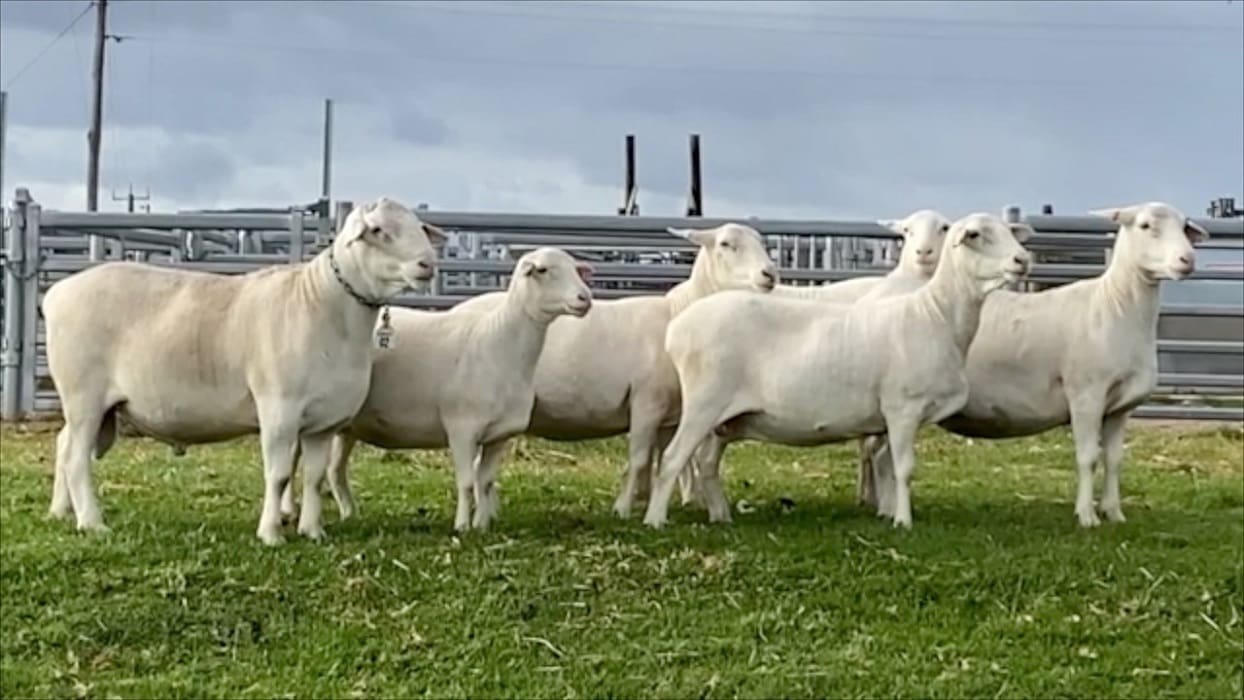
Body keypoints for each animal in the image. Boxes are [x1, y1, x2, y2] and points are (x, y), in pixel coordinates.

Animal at [40, 197, 446, 545]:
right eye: (377, 230)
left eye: (419, 227)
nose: (428, 264)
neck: (322, 304)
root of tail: (56, 293)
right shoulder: (278, 408)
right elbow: (278, 475)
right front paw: (271, 534)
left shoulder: (324, 421)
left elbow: (314, 478)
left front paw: (313, 531)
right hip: (83, 394)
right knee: (76, 459)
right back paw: (92, 522)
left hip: (87, 404)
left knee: (63, 444)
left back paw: (61, 512)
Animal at [287, 247, 594, 535]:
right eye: (543, 270)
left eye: (575, 269)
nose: (585, 298)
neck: (499, 343)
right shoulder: (462, 428)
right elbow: (467, 482)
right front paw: (462, 526)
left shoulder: (499, 436)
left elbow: (485, 482)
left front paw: (482, 526)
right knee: (293, 460)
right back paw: (288, 511)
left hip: (348, 424)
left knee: (334, 469)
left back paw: (350, 513)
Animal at [449, 222, 780, 520]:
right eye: (726, 244)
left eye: (762, 242)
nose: (770, 275)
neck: (676, 313)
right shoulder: (646, 400)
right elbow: (640, 459)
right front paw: (623, 508)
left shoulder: (669, 413)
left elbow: (665, 459)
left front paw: (660, 499)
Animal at [642, 212, 1033, 530]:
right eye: (975, 235)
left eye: (1010, 234)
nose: (1023, 260)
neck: (935, 314)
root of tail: (678, 327)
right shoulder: (903, 408)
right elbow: (904, 468)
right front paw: (904, 522)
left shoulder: (886, 418)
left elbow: (885, 465)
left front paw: (888, 512)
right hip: (704, 403)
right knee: (674, 459)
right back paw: (655, 520)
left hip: (727, 418)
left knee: (707, 462)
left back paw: (721, 516)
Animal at [861, 202, 1210, 527]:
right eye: (1145, 225)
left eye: (1184, 226)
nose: (1187, 259)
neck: (1114, 306)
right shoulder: (1086, 393)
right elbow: (1087, 458)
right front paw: (1087, 516)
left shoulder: (1120, 406)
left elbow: (1114, 460)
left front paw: (1114, 512)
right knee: (879, 452)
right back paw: (885, 507)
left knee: (876, 451)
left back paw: (876, 503)